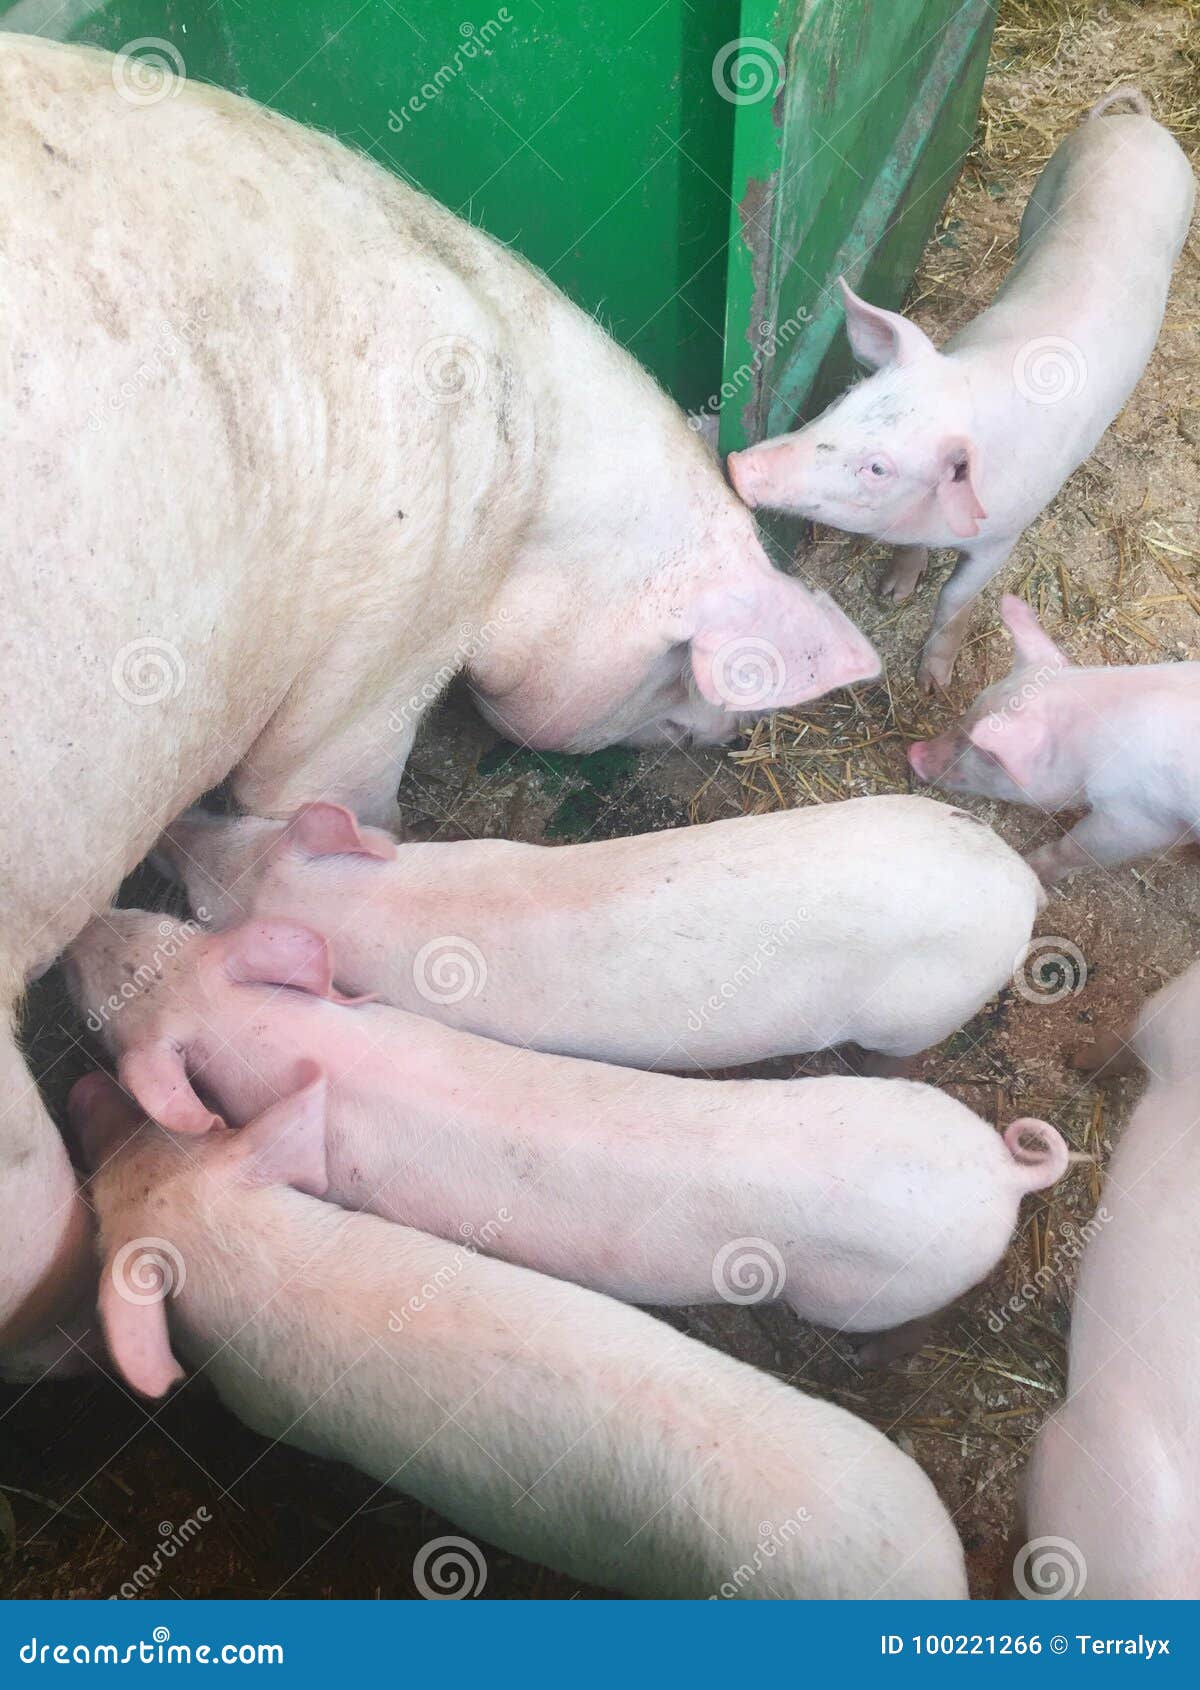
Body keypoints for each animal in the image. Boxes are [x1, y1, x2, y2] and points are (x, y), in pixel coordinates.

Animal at [76, 1067, 969, 1599]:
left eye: (103, 1212)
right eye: (187, 1137)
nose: (86, 1082)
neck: (257, 1255)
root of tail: (931, 1569)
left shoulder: (268, 1407)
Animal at [727, 89, 1195, 692]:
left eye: (878, 469)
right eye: (841, 402)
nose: (739, 465)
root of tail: (1137, 124)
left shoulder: (1004, 534)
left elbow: (955, 597)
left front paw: (933, 685)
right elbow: (911, 549)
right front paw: (890, 593)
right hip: (1042, 192)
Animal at [907, 595, 1200, 884]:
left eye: (986, 754)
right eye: (969, 711)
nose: (914, 752)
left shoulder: (1140, 818)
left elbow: (1076, 848)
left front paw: (1030, 867)